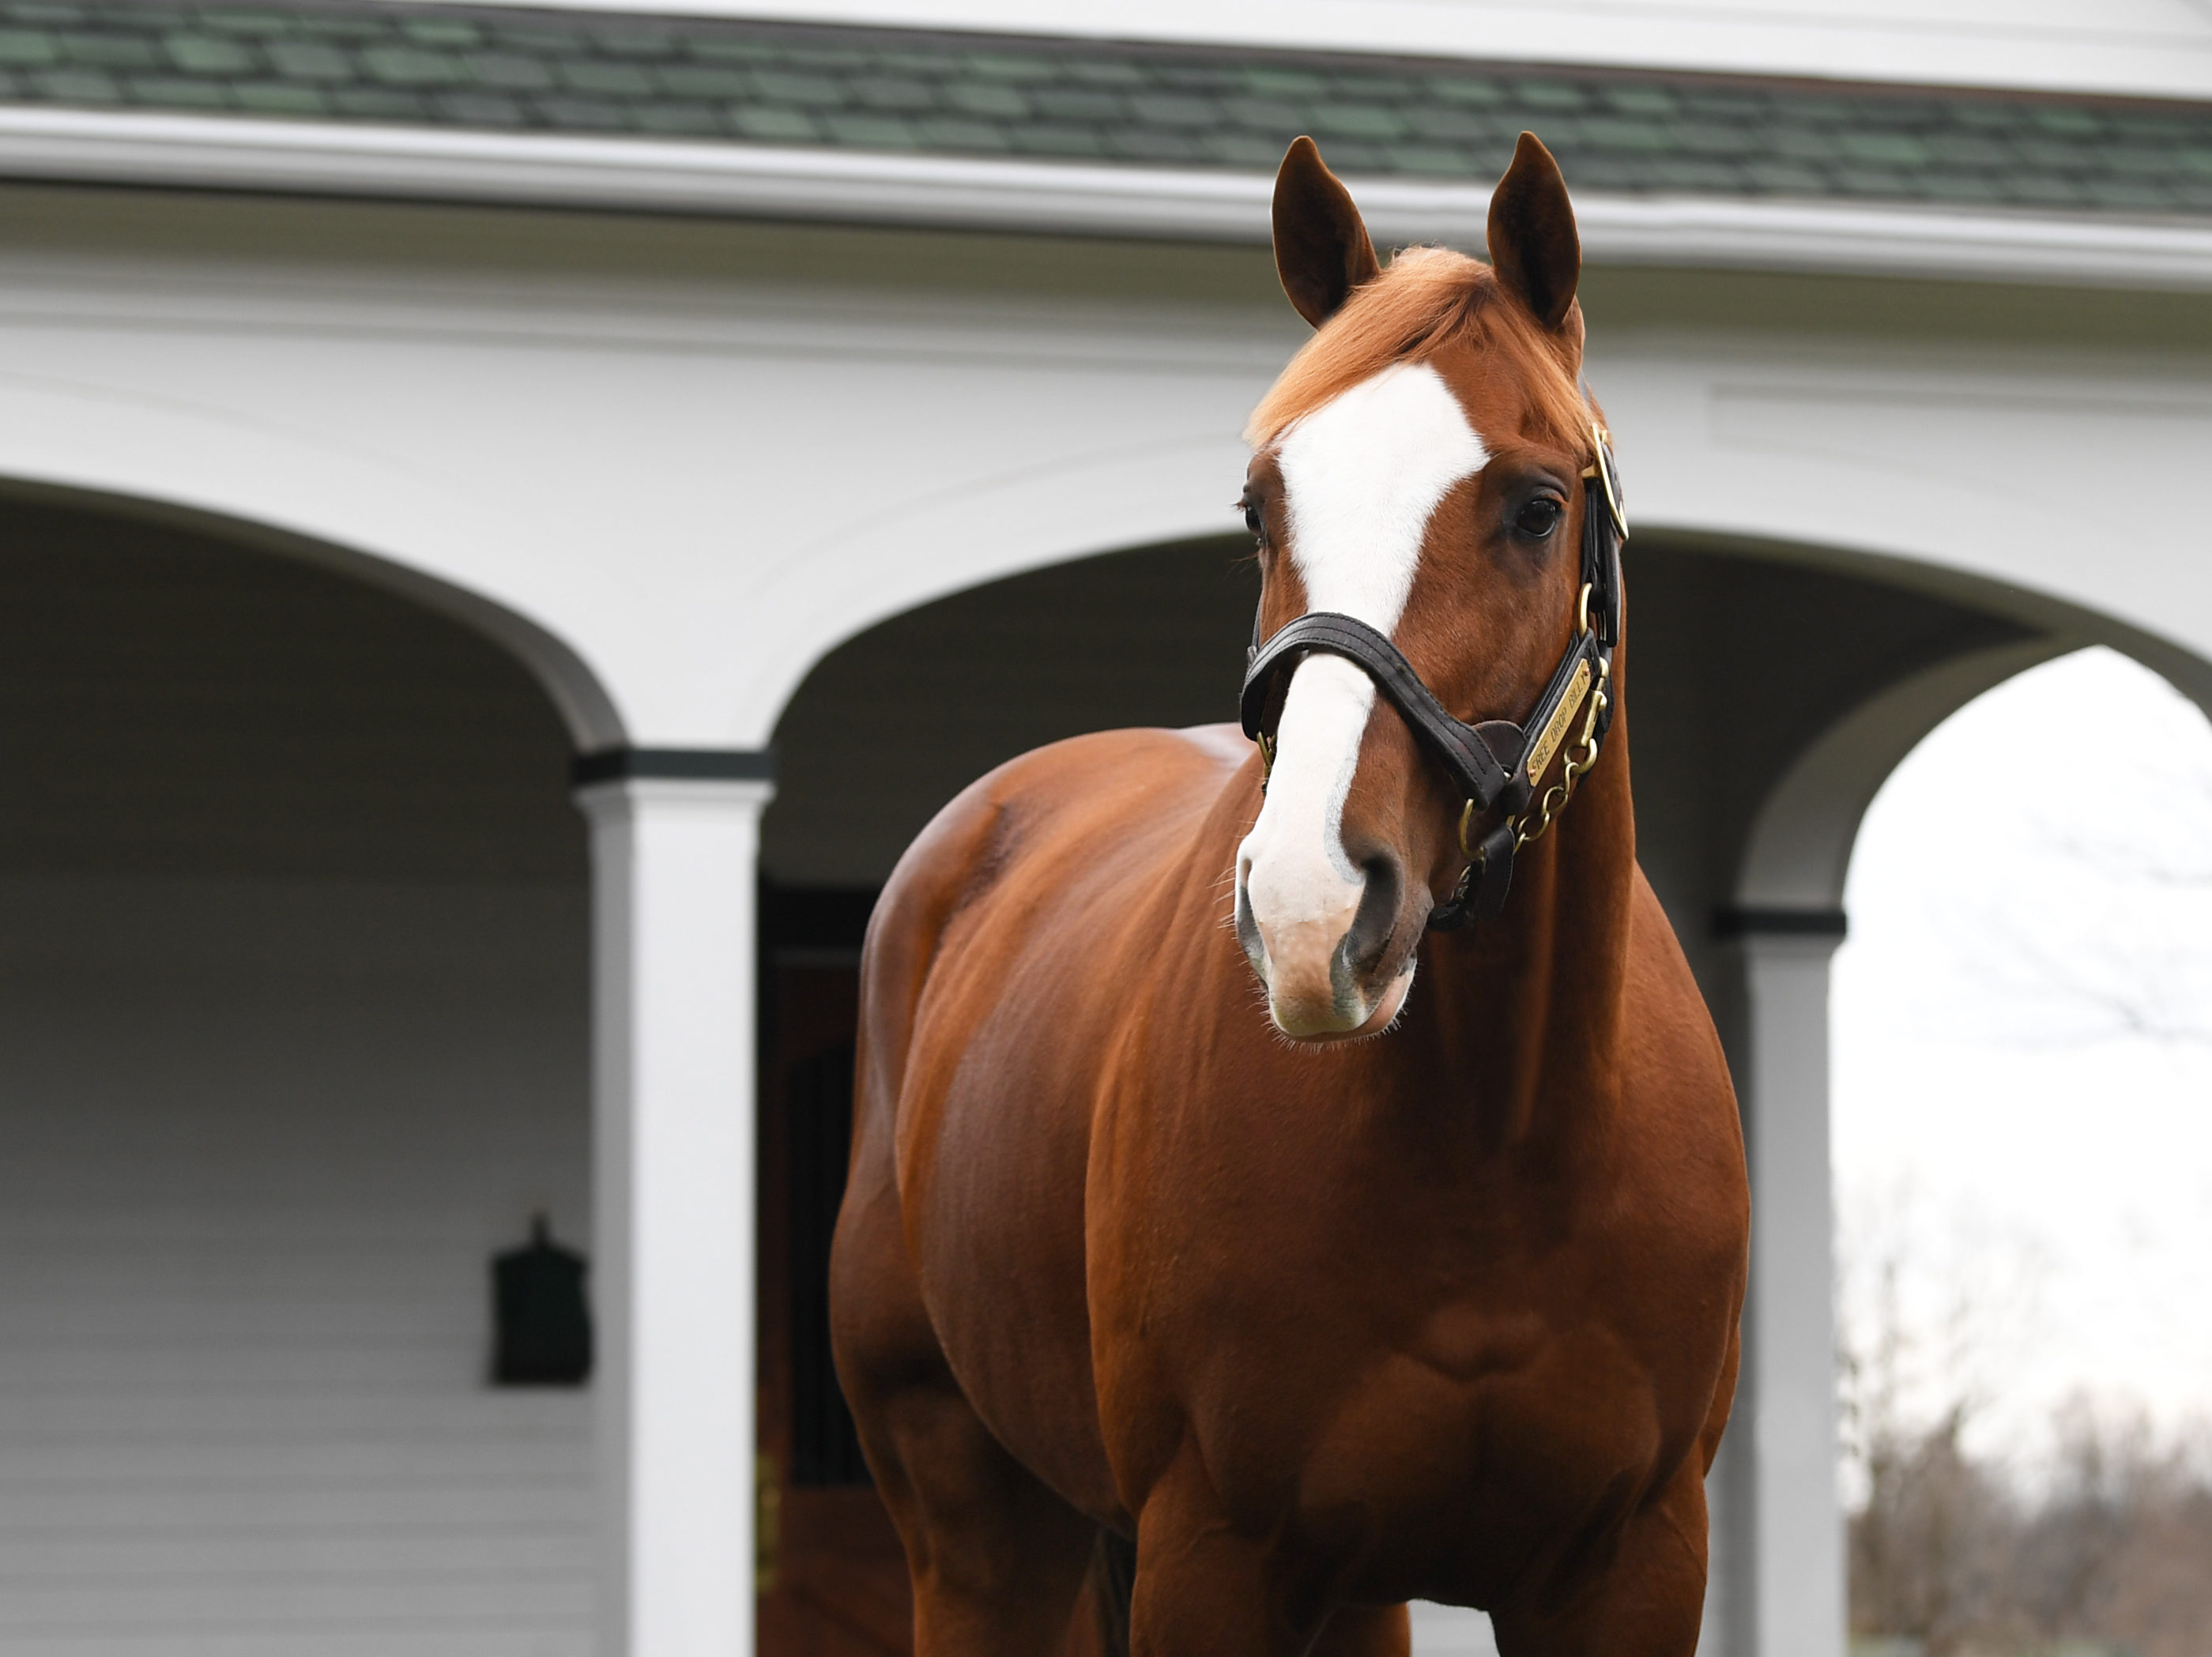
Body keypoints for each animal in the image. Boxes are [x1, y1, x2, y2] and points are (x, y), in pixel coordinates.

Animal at [830, 131, 1750, 1657]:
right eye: (1259, 507)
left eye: (1534, 507)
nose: (1317, 915)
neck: (1495, 1156)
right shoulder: (1213, 1556)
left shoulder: (1631, 1565)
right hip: (971, 1525)